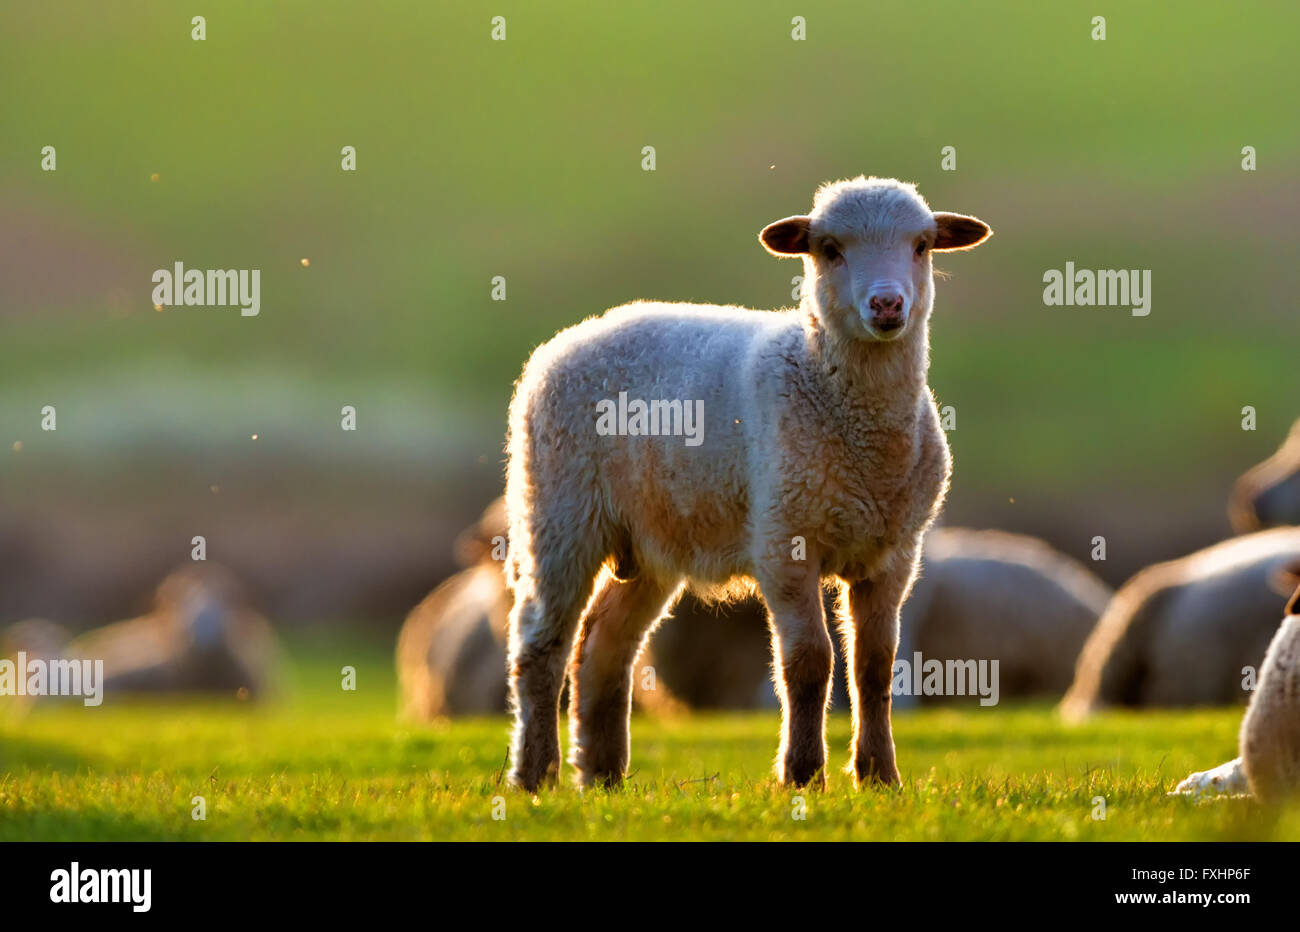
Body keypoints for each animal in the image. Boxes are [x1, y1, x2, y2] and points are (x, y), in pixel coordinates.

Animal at [503, 176, 991, 789]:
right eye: (830, 248)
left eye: (922, 245)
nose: (887, 304)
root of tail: (566, 340)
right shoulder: (784, 543)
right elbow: (809, 662)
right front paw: (802, 774)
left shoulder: (894, 554)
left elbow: (875, 665)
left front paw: (879, 776)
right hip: (558, 513)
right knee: (540, 645)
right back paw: (534, 775)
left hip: (651, 539)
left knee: (604, 646)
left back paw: (603, 776)